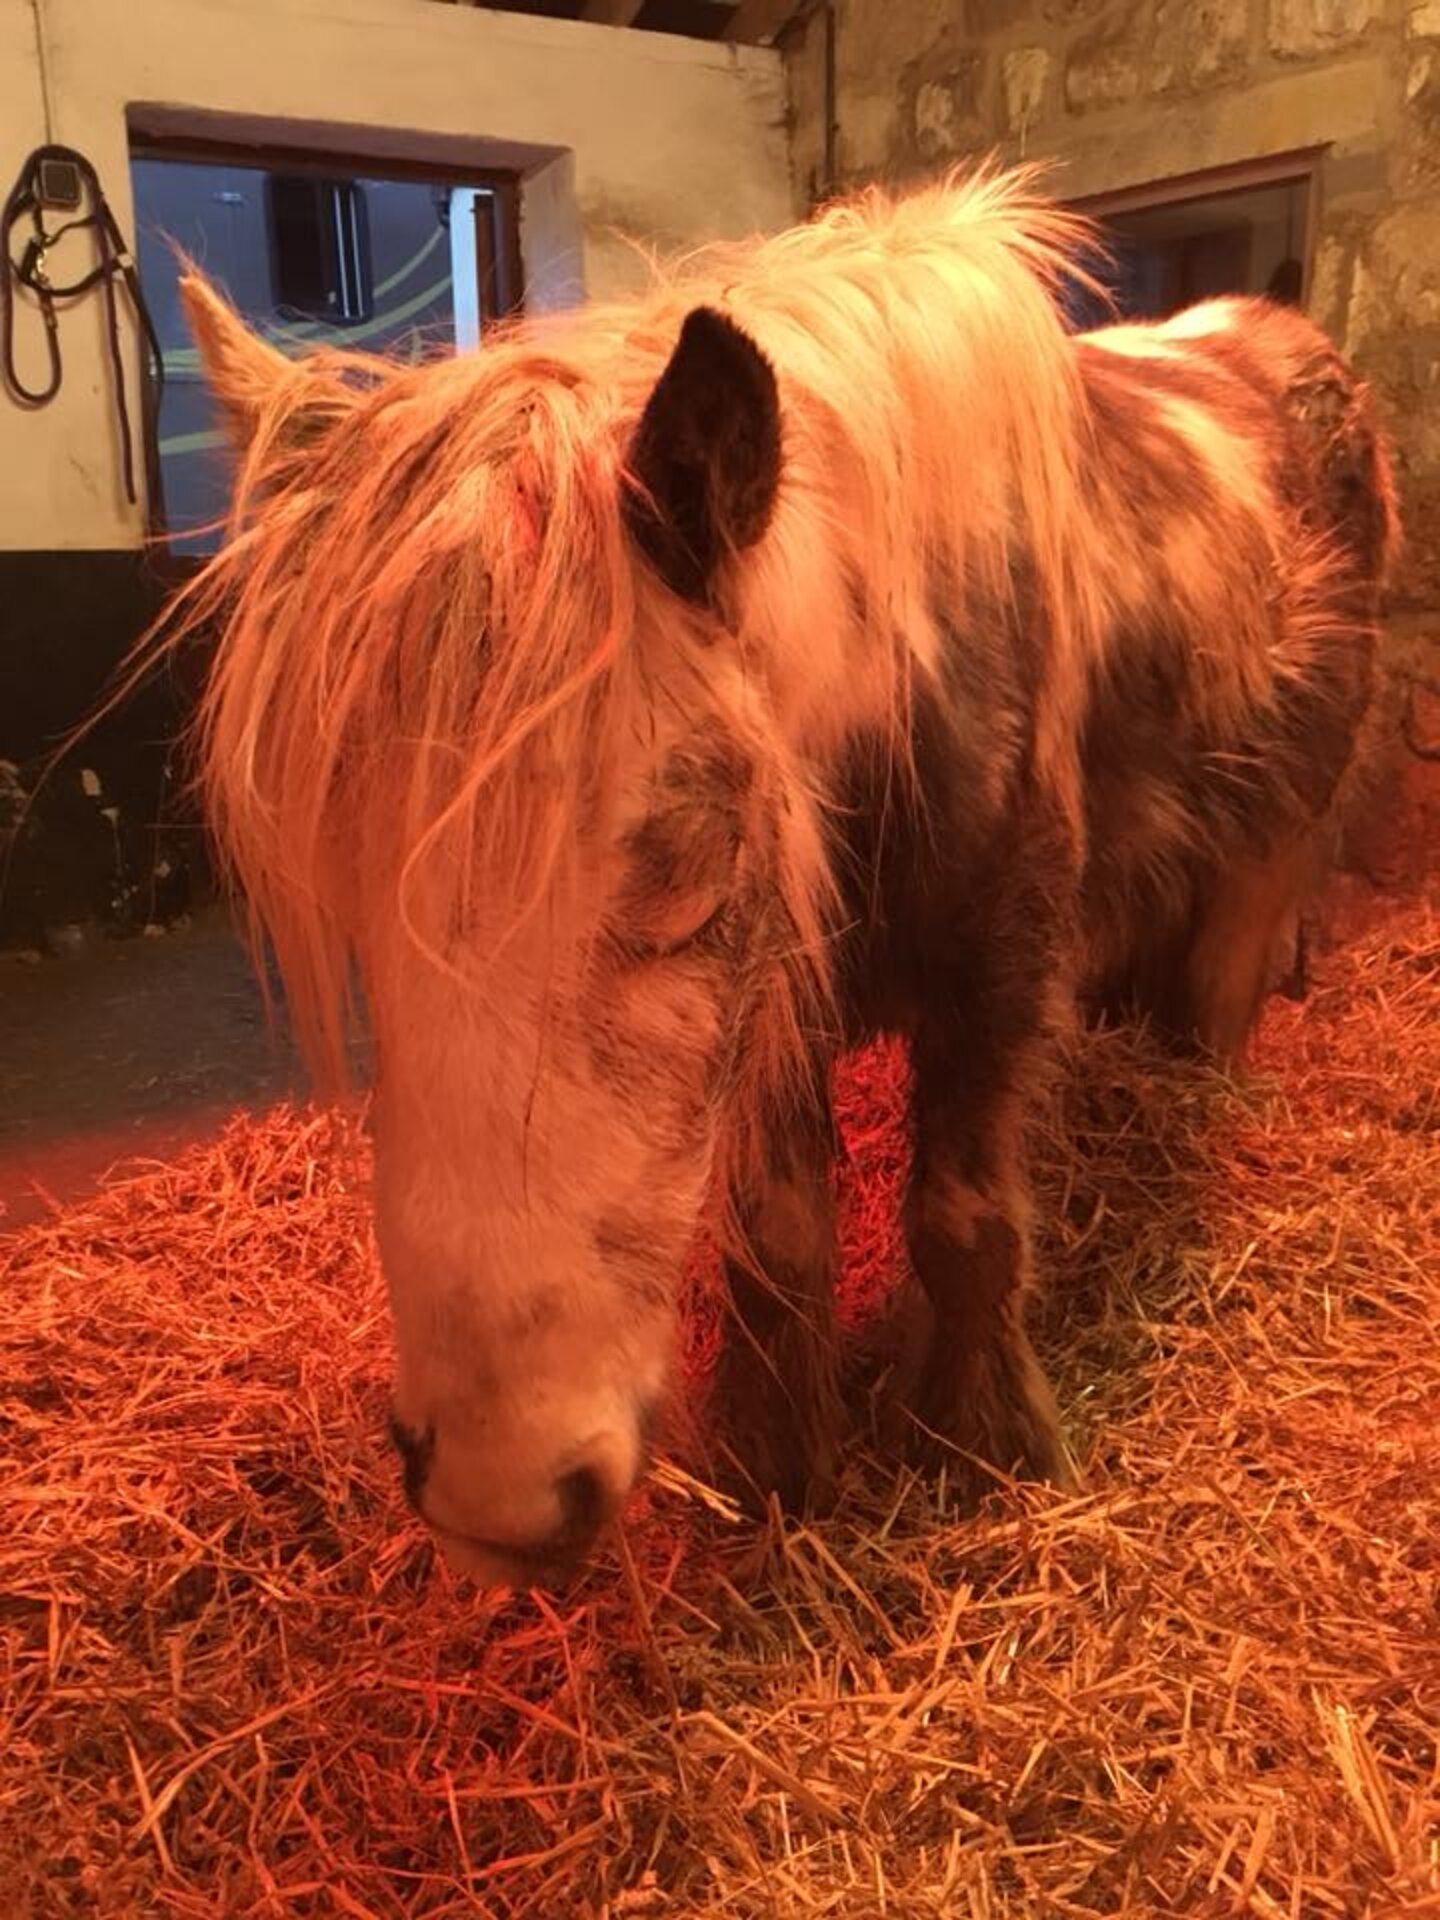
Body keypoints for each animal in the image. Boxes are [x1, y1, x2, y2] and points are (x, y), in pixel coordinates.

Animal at [166, 165, 1398, 1587]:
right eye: (352, 905)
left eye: (695, 879)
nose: (498, 1496)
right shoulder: (785, 998)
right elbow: (781, 1235)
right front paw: (783, 1463)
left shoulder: (1001, 962)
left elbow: (963, 1218)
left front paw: (974, 1446)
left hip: (1277, 833)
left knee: (1224, 975)